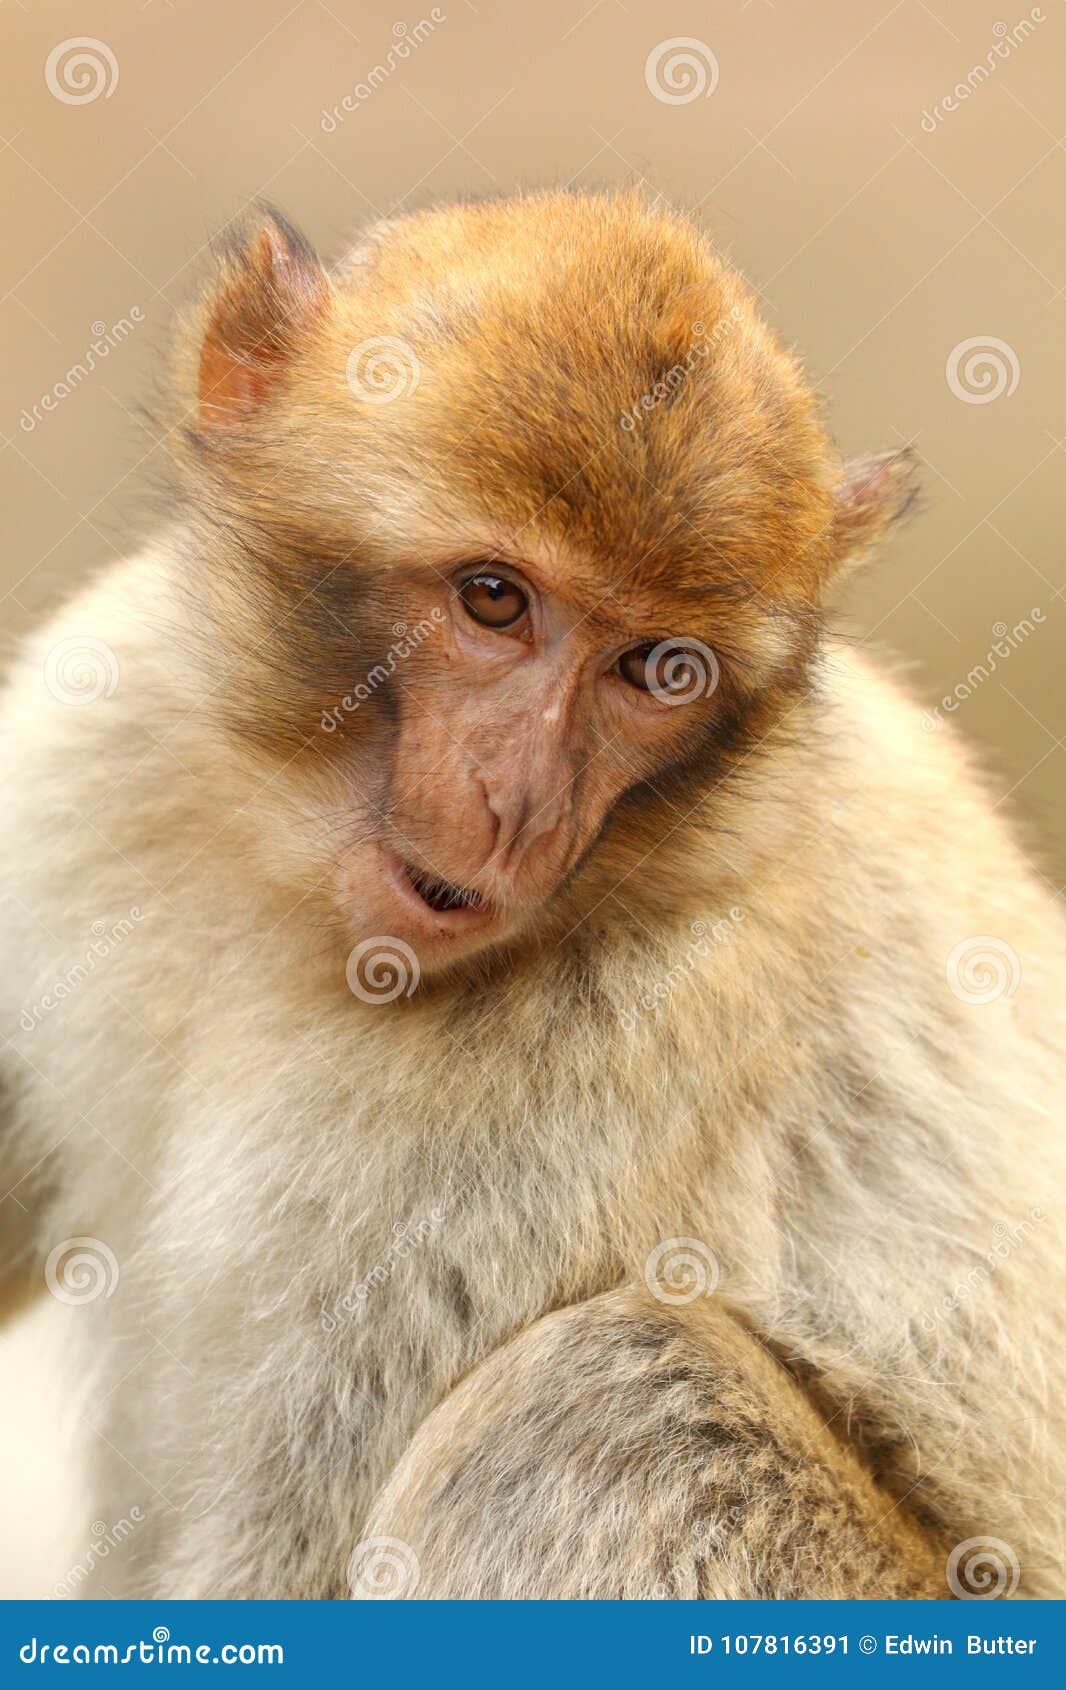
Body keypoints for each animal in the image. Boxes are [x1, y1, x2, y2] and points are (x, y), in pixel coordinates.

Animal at [0, 188, 1062, 1601]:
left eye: (660, 670)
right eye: (494, 599)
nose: (520, 805)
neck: (300, 906)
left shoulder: (576, 1084)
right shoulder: (79, 741)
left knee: (597, 1395)